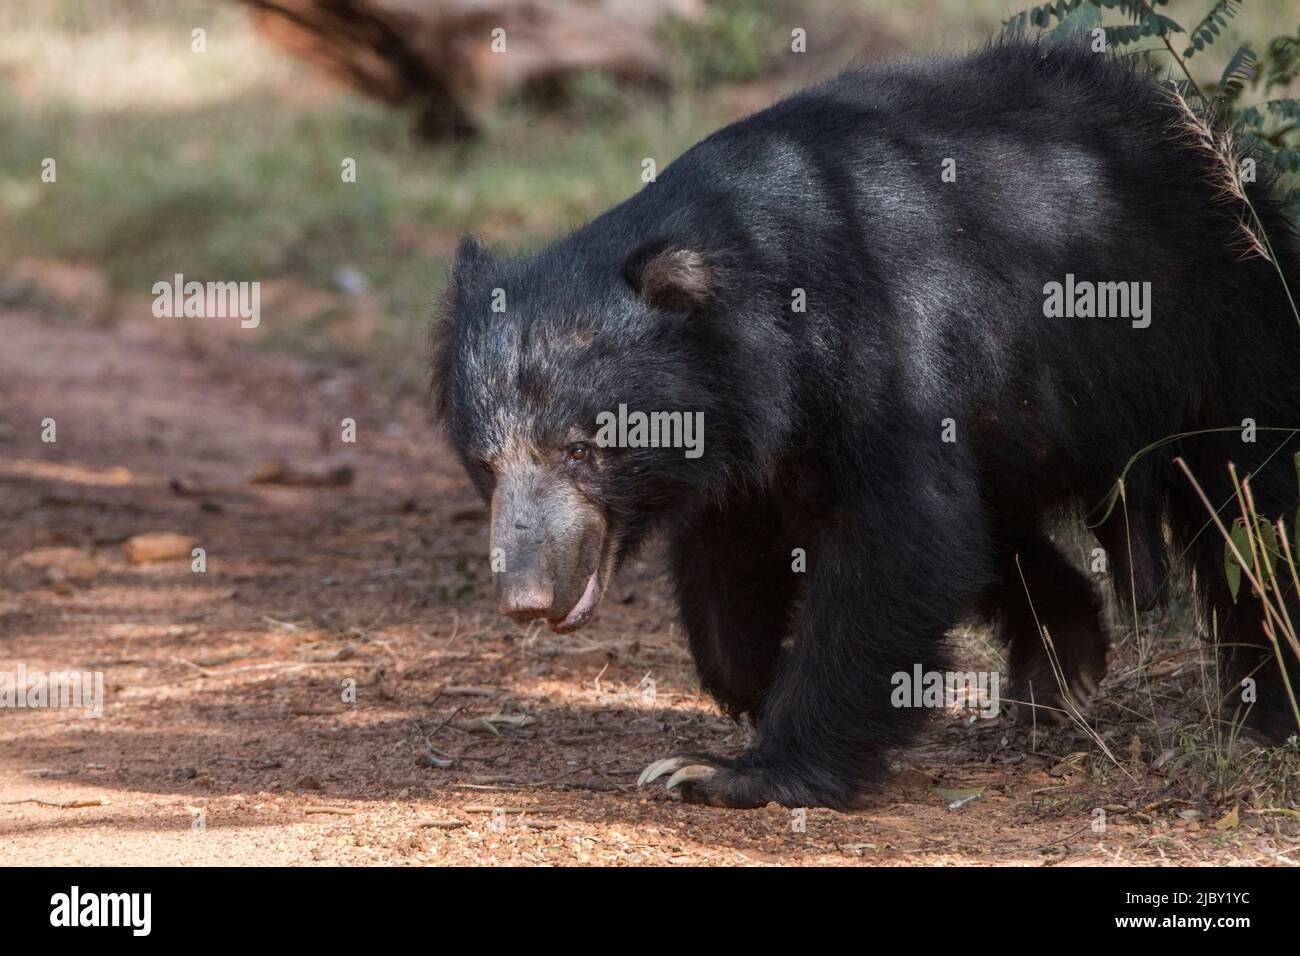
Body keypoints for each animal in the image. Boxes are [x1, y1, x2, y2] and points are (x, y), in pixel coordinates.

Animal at [433, 37, 1300, 810]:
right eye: (485, 463)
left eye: (582, 449)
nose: (527, 597)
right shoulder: (746, 431)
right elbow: (732, 556)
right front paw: (753, 684)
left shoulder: (891, 344)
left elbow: (902, 540)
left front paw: (725, 772)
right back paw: (1061, 664)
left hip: (1225, 323)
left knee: (1252, 510)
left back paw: (1266, 710)